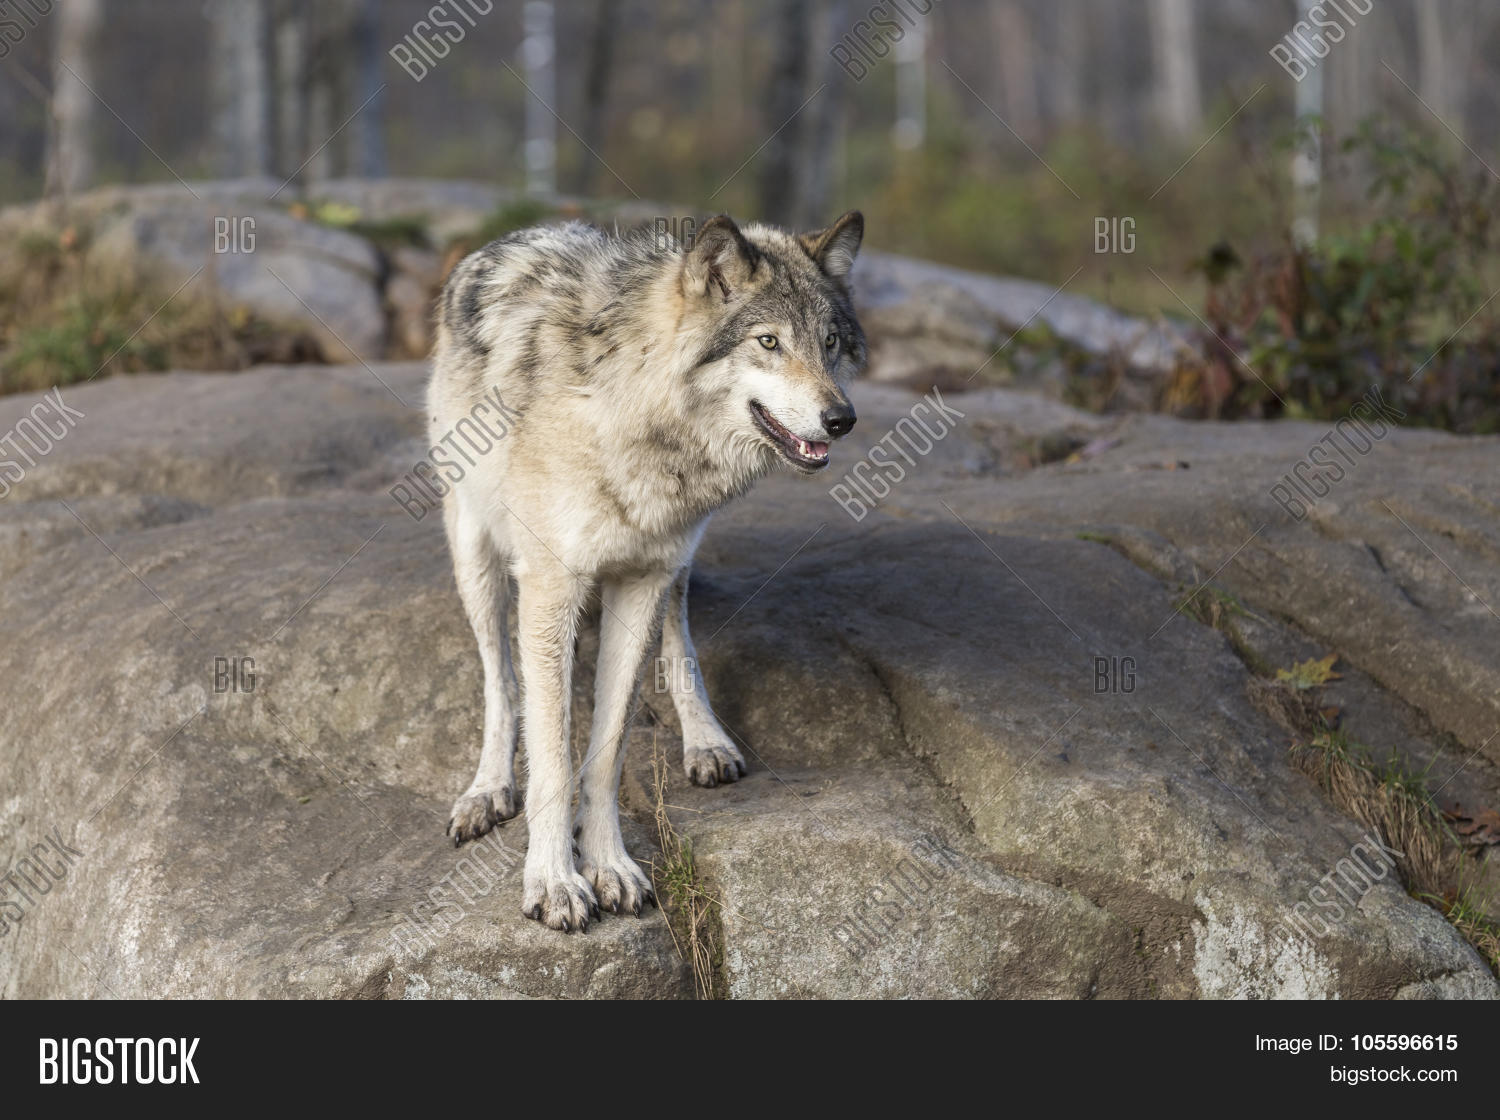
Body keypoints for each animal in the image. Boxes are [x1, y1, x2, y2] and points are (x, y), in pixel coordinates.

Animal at [428, 210, 866, 931]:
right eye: (769, 342)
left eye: (829, 343)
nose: (842, 418)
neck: (631, 408)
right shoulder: (550, 586)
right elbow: (552, 753)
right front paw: (555, 880)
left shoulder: (643, 580)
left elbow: (606, 751)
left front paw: (609, 865)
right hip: (475, 550)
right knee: (501, 680)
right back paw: (487, 788)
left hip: (677, 567)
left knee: (677, 642)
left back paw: (705, 741)